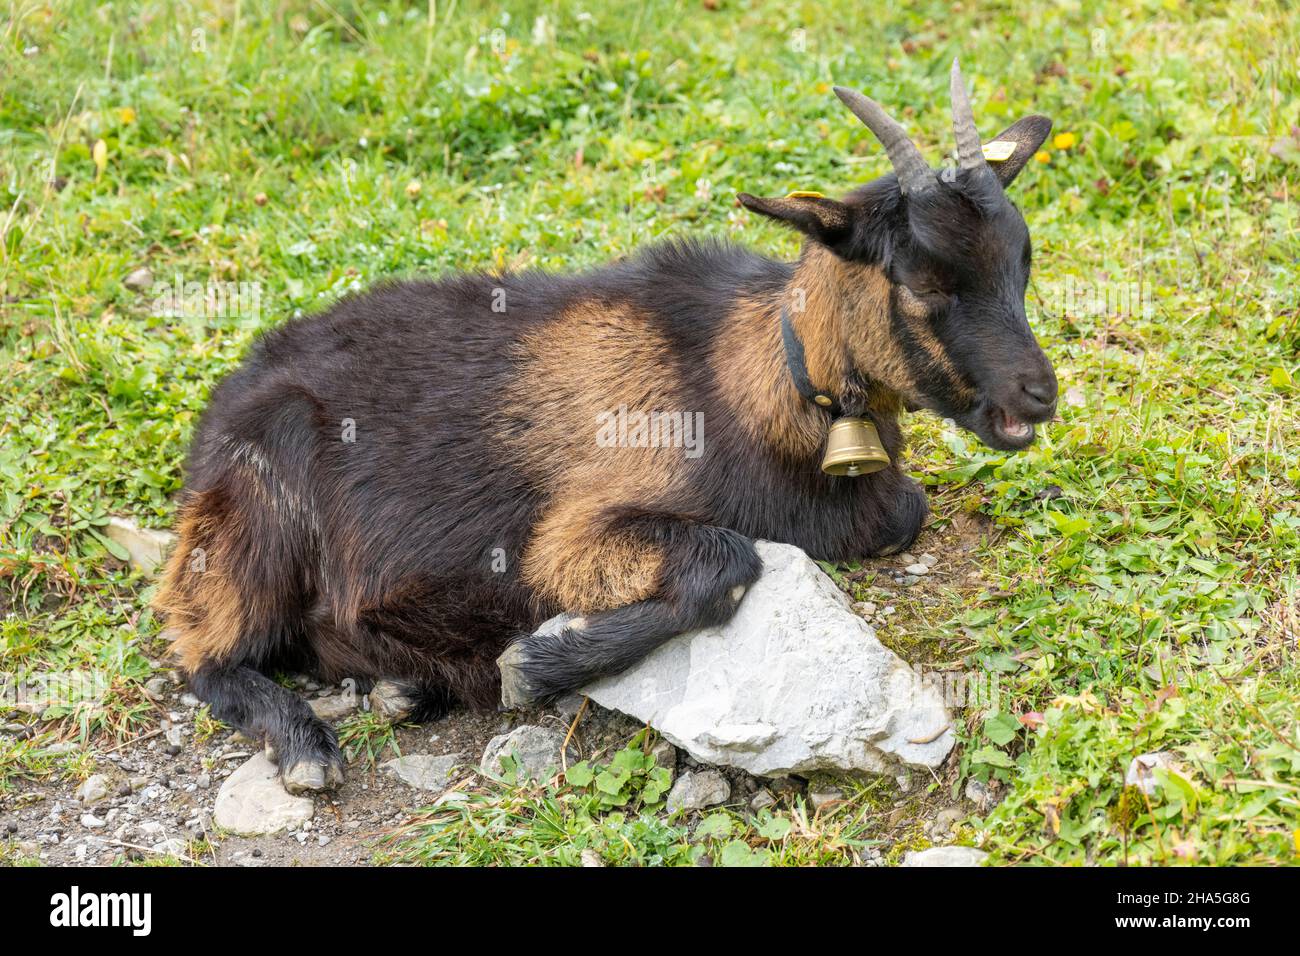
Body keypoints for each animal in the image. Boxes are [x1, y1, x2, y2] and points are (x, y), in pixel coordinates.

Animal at [155, 62, 1057, 792]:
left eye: (1023, 260)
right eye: (921, 283)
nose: (1039, 394)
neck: (746, 379)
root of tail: (222, 410)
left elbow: (906, 510)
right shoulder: (574, 530)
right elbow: (725, 562)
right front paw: (531, 666)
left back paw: (407, 684)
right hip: (256, 508)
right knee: (205, 654)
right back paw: (306, 746)